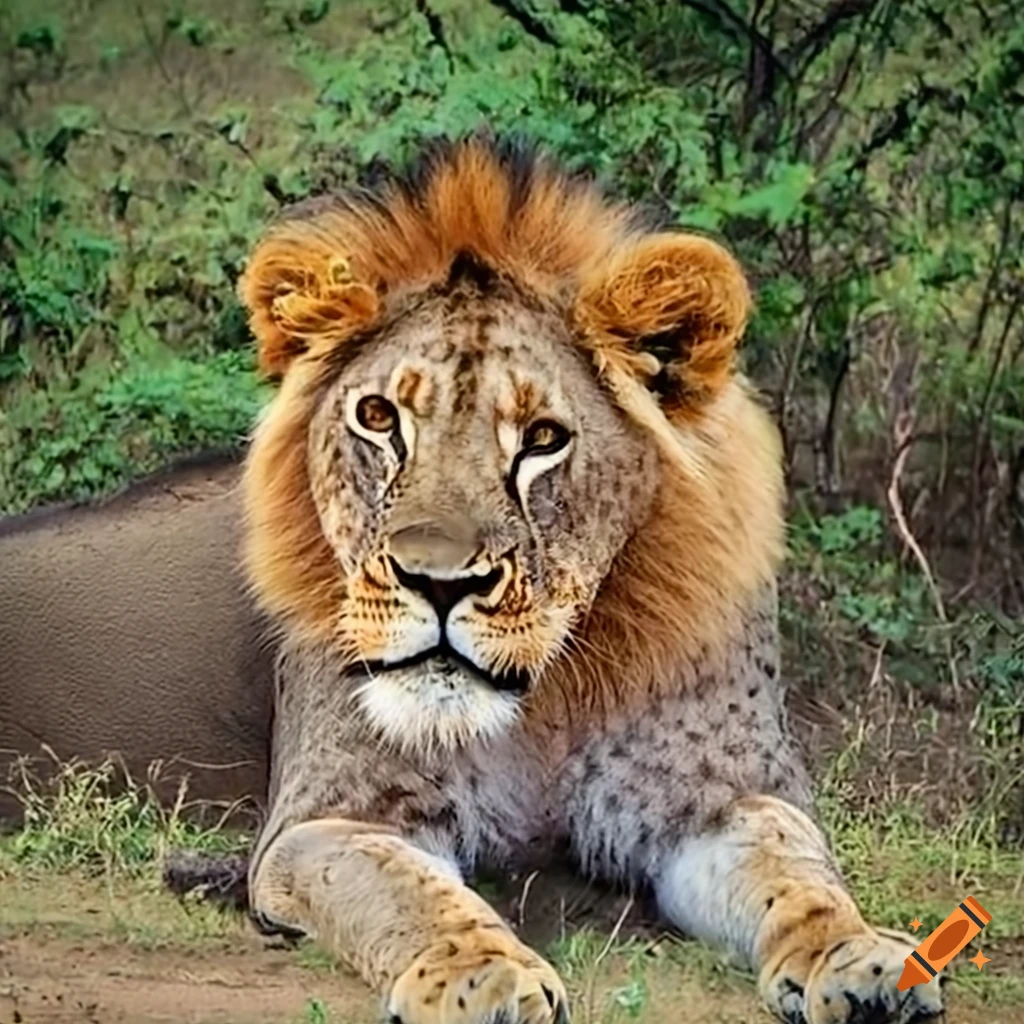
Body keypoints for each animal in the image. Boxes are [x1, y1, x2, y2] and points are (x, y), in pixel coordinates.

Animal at [231, 135, 943, 1024]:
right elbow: (412, 894)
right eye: (379, 419)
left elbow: (800, 875)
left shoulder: (724, 796)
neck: (541, 701)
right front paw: (482, 977)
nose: (437, 584)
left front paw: (860, 957)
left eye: (542, 439)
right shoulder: (327, 818)